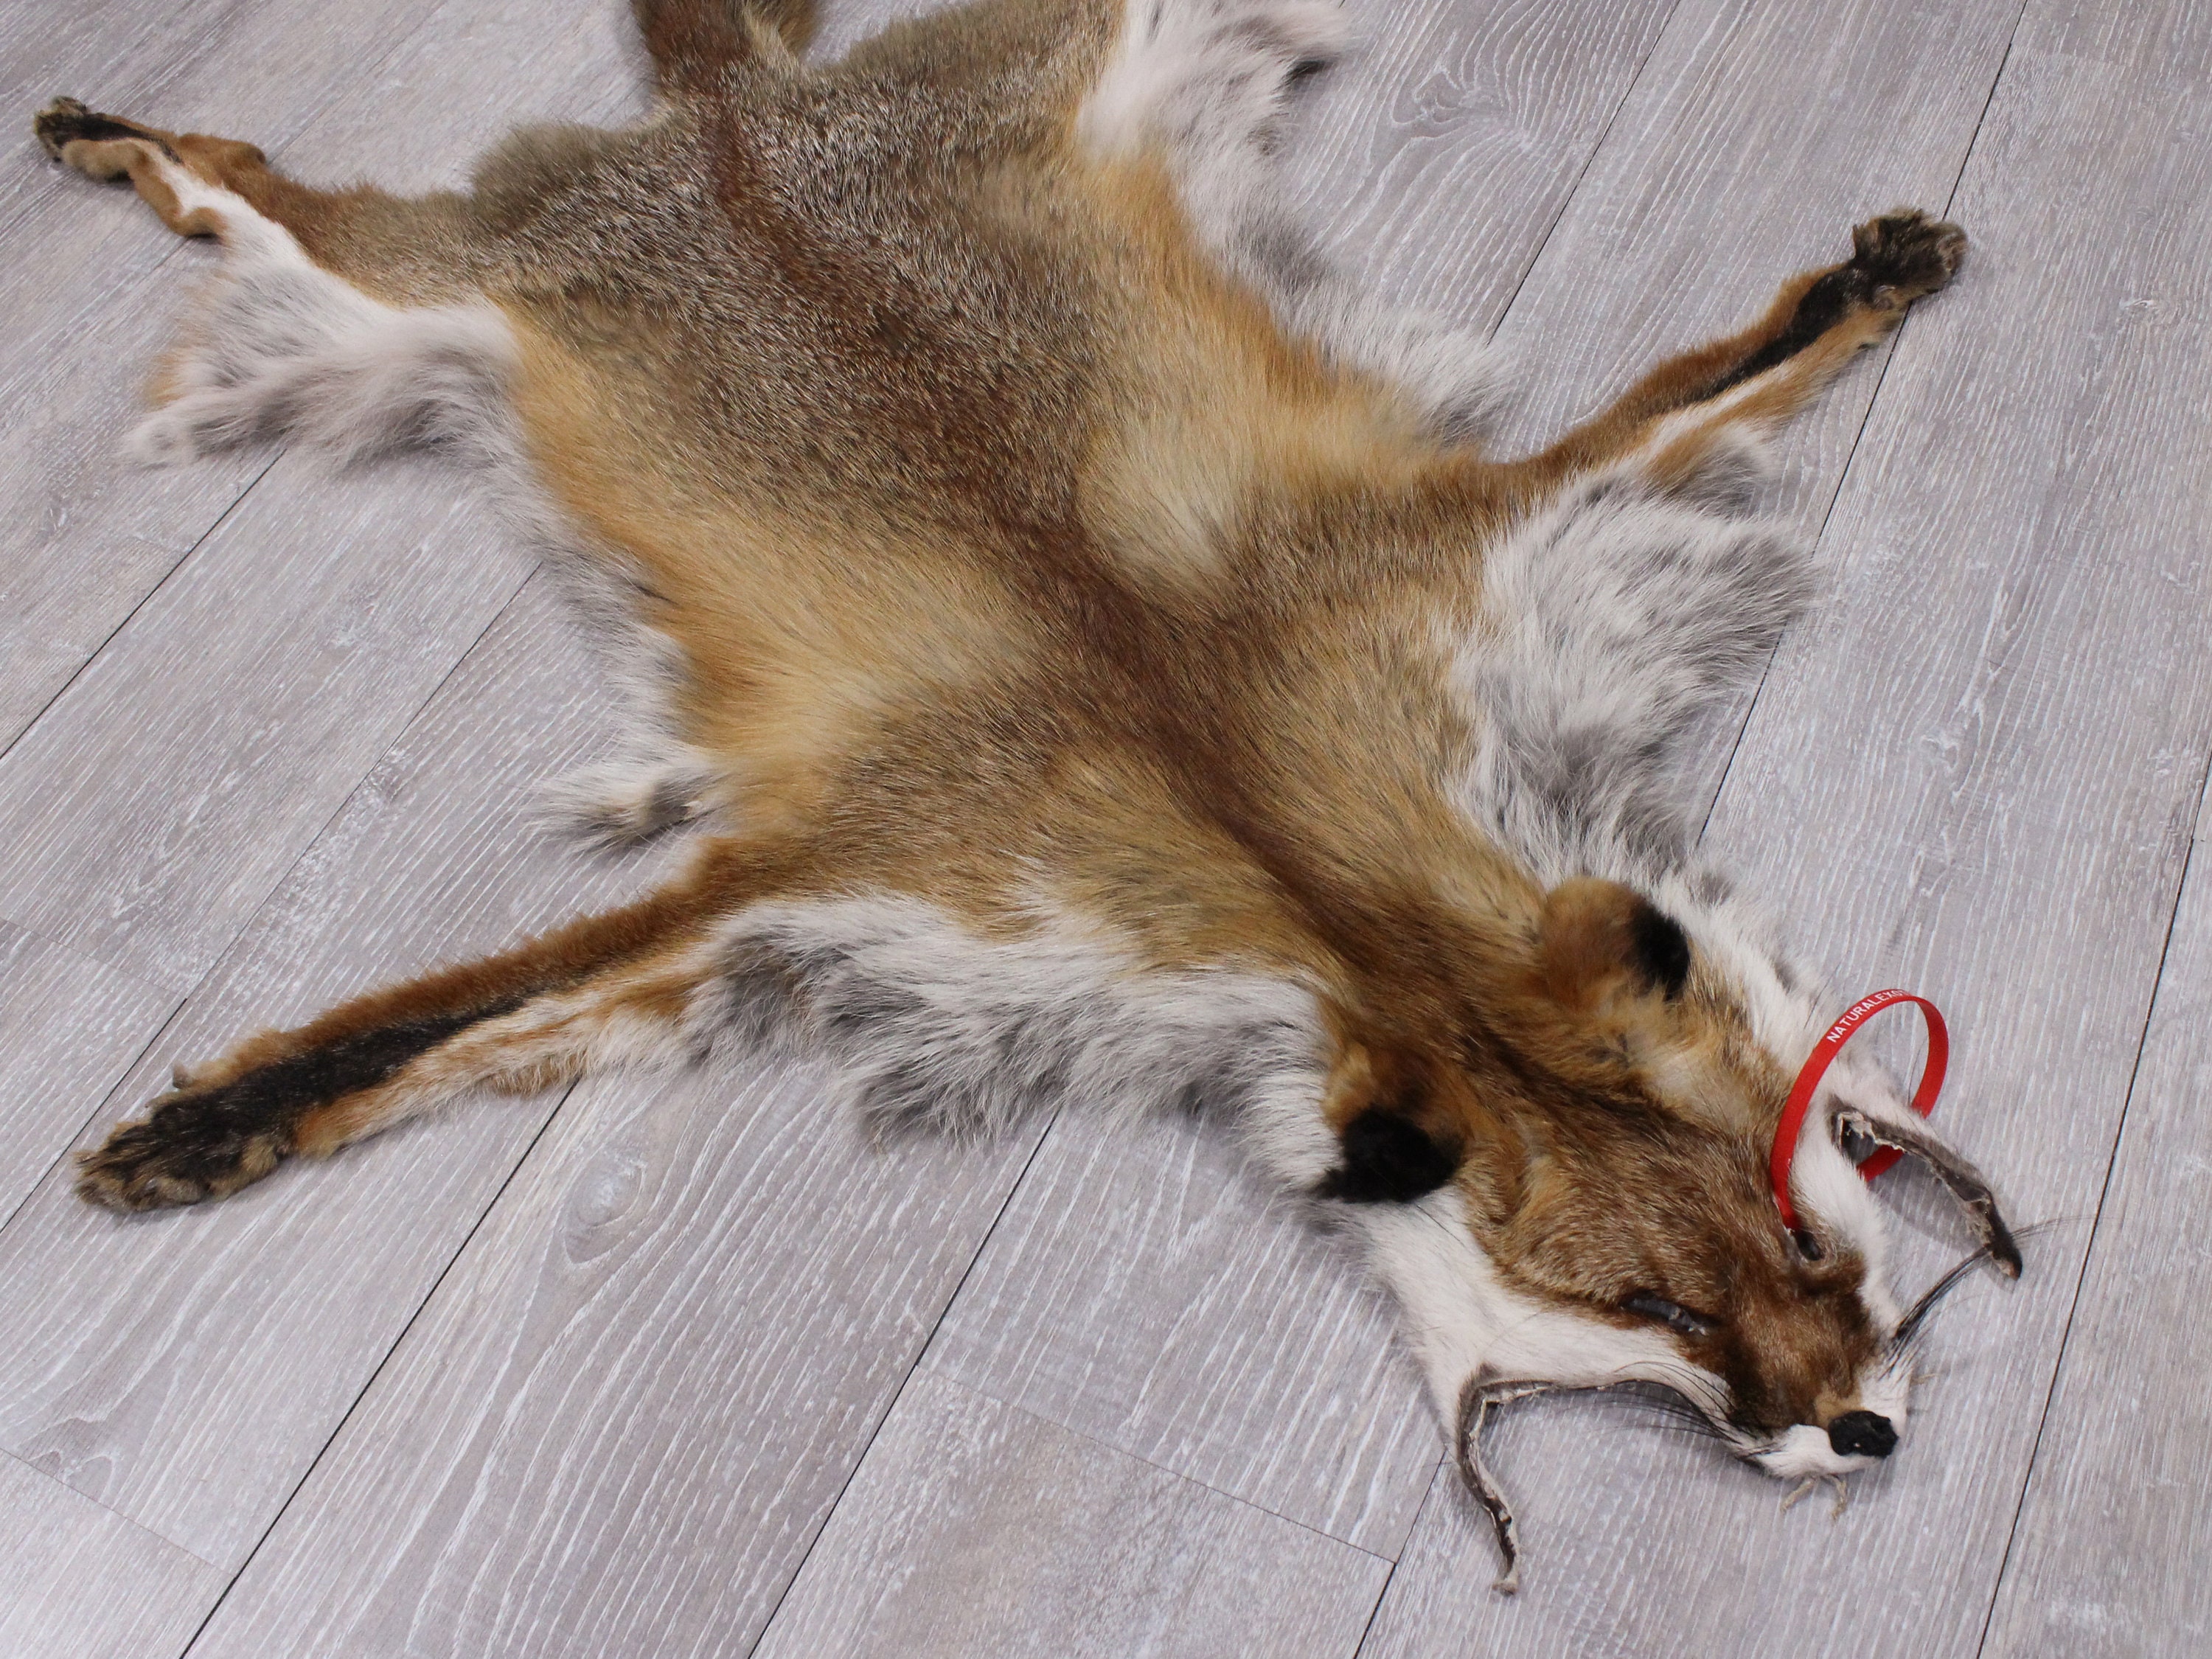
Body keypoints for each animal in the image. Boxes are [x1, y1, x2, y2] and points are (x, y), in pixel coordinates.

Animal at [32, 0, 2019, 1590]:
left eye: (1796, 1231)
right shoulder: (854, 860)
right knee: (243, 183)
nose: (1860, 1433)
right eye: (1647, 1309)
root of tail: (728, 126)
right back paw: (107, 132)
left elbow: (1699, 387)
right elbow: (425, 1021)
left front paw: (1862, 287)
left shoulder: (1462, 543)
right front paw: (214, 1126)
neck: (1248, 788)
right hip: (420, 285)